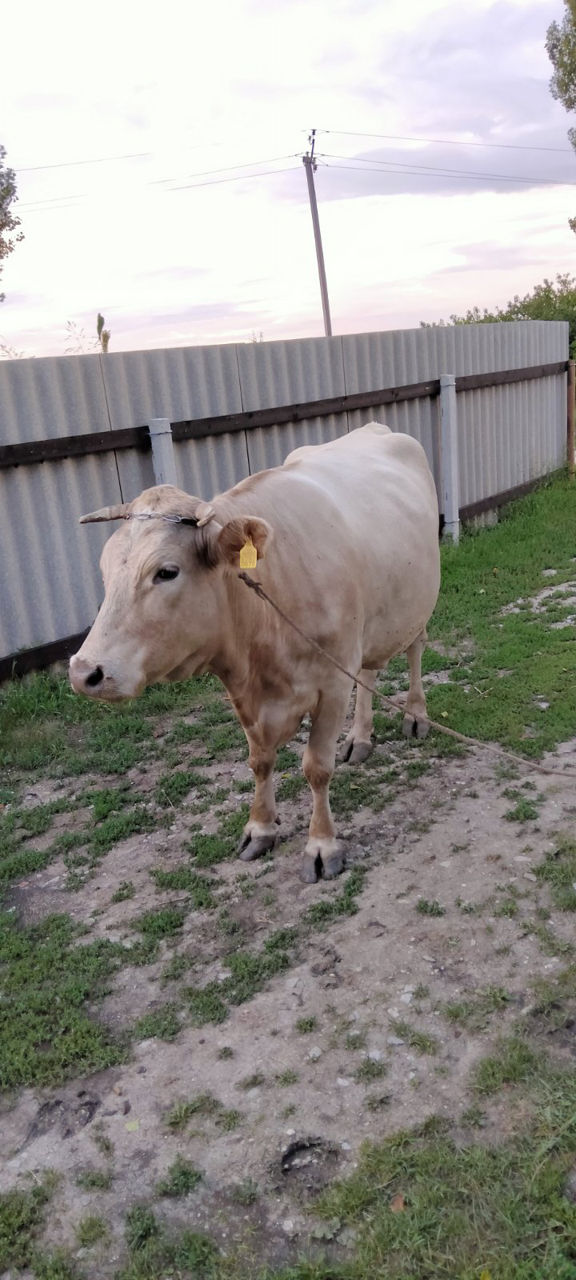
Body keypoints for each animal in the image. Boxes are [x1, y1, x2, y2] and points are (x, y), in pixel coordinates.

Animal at [69, 424, 440, 883]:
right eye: (104, 570)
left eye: (166, 571)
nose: (84, 672)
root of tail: (377, 429)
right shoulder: (243, 689)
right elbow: (260, 761)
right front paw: (260, 828)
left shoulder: (333, 683)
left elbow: (317, 767)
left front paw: (322, 845)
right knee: (369, 673)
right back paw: (359, 737)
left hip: (417, 605)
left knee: (415, 651)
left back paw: (416, 715)